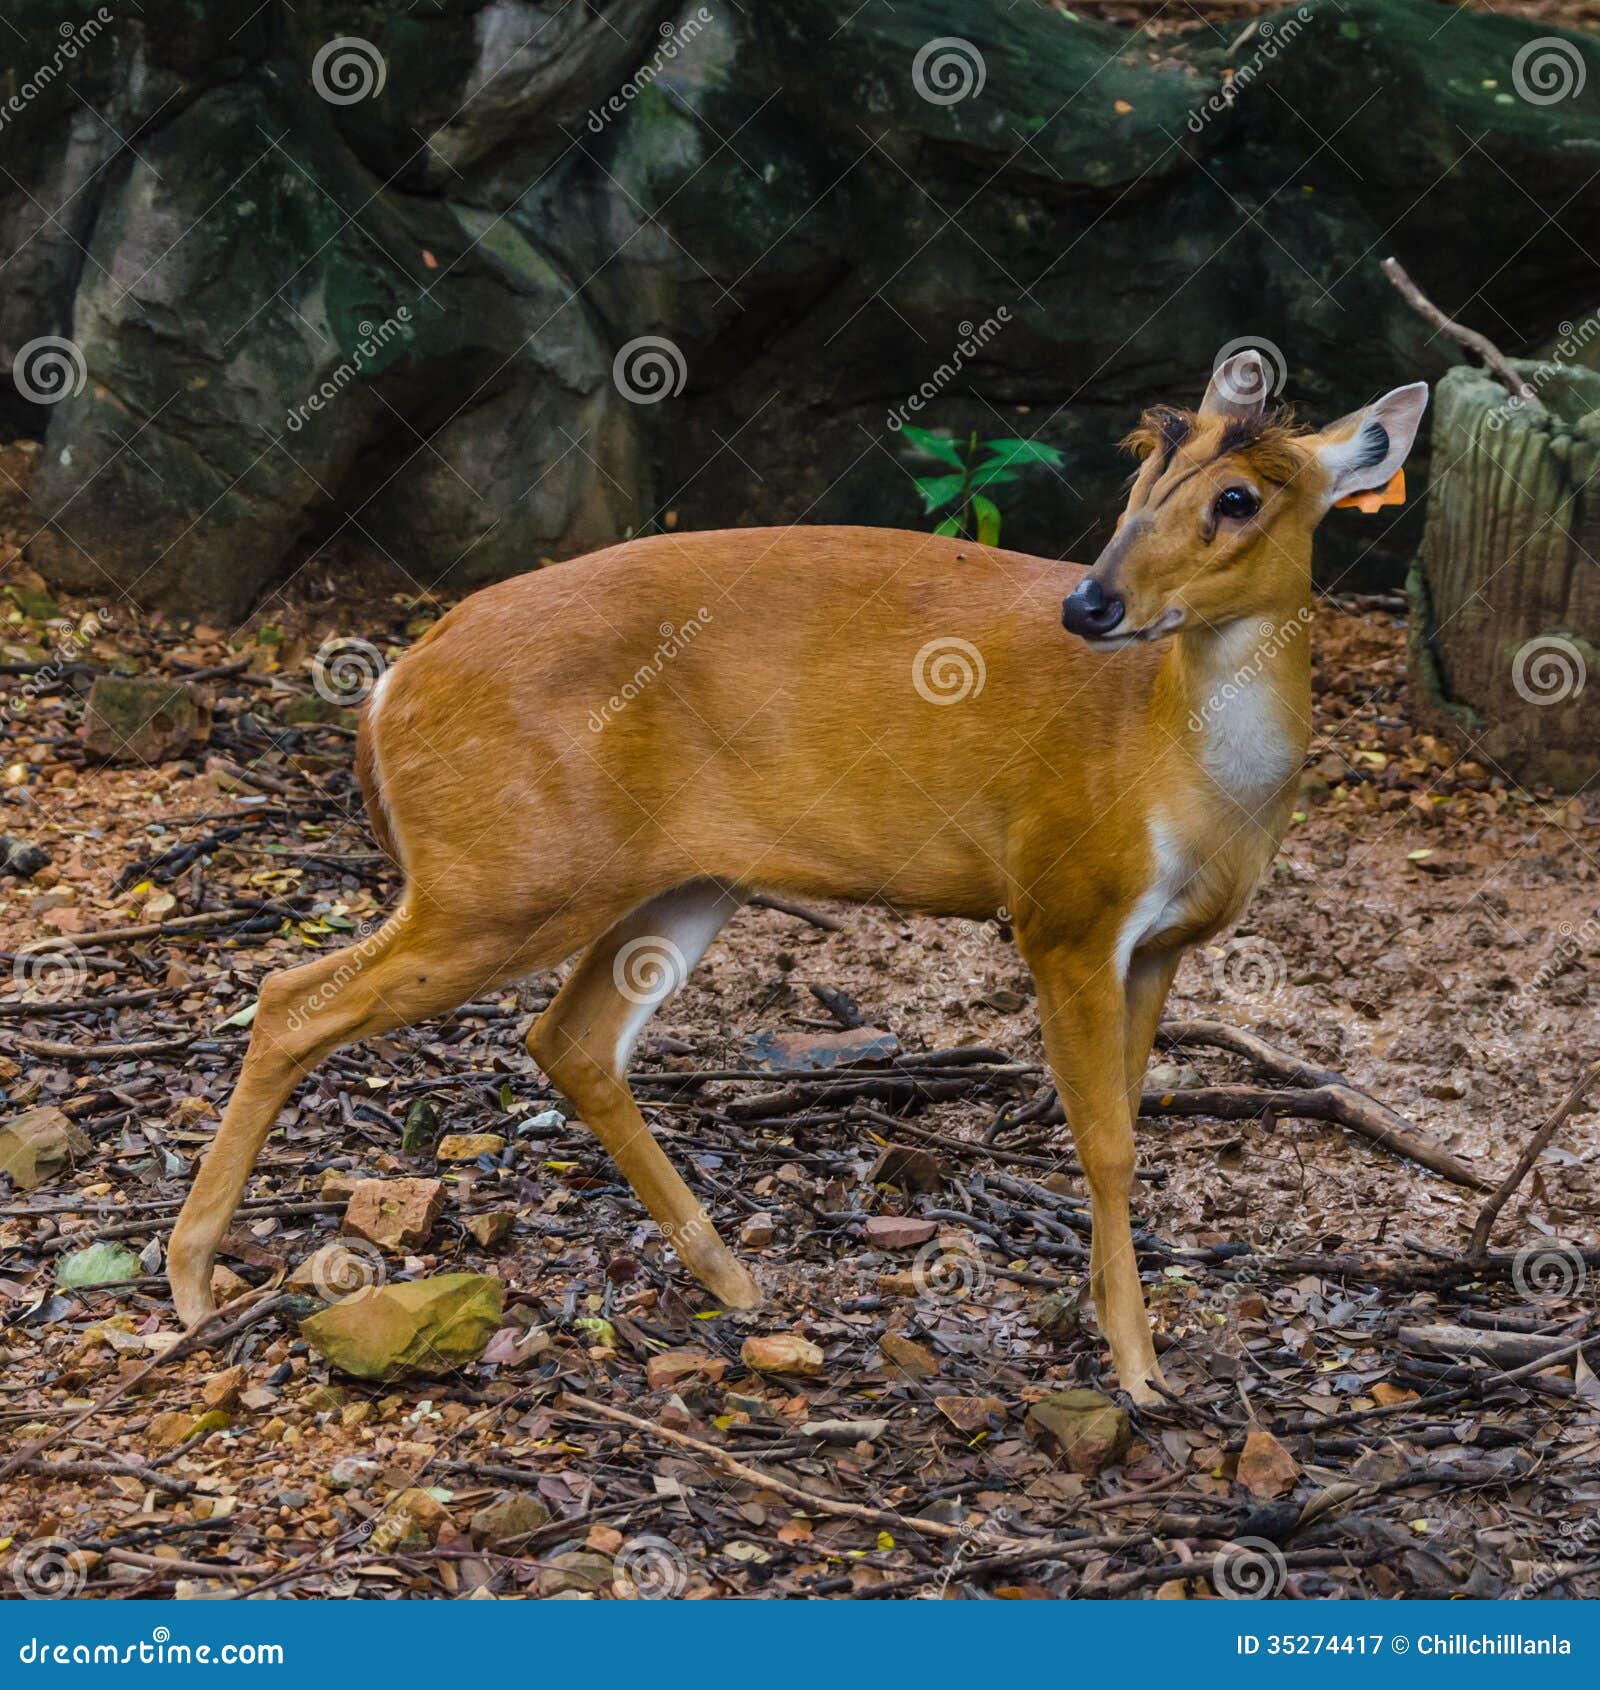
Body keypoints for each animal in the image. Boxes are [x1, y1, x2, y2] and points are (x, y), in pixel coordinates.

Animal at [167, 351, 1427, 1404]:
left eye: (1238, 497)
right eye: (1141, 476)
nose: (1091, 602)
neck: (1173, 762)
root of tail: (389, 687)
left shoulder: (1160, 943)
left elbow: (1121, 1118)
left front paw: (1110, 1327)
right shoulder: (1059, 904)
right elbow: (1106, 1139)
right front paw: (1138, 1371)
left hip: (674, 877)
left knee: (571, 1038)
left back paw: (735, 1281)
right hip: (500, 875)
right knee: (292, 998)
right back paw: (188, 1281)